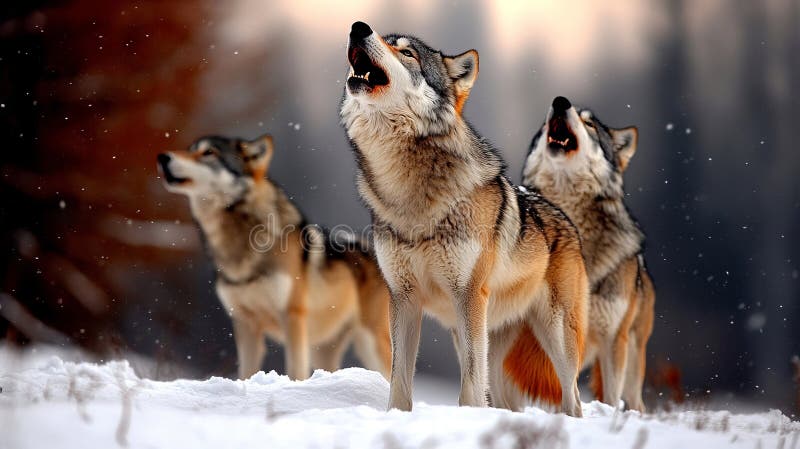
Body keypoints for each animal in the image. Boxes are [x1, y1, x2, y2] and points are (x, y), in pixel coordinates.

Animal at [157, 134, 392, 381]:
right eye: (189, 149)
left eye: (208, 153)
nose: (163, 157)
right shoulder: (244, 324)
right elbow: (246, 373)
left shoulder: (293, 316)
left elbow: (295, 370)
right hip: (323, 351)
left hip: (369, 342)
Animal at [340, 21, 589, 416]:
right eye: (386, 41)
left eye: (407, 53)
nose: (358, 27)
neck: (411, 195)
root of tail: (565, 218)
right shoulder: (403, 299)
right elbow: (399, 381)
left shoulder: (469, 295)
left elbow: (470, 386)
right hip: (490, 342)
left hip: (554, 334)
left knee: (574, 399)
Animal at [521, 96, 656, 411]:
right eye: (543, 124)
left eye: (590, 123)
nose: (560, 102)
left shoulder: (613, 339)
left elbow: (610, 396)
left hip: (632, 358)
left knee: (633, 400)